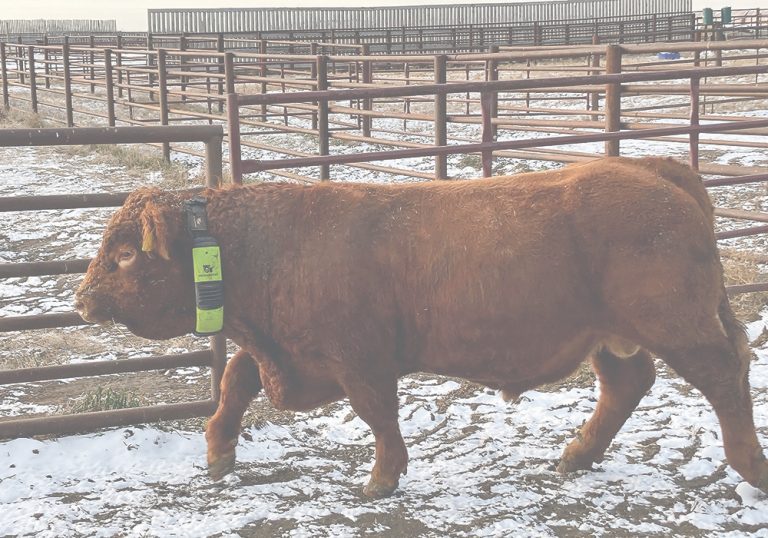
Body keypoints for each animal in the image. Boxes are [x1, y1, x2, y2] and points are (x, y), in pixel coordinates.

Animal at [75, 156, 768, 498]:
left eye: (126, 253)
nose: (81, 299)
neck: (269, 246)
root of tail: (653, 169)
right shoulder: (289, 357)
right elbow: (234, 384)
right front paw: (218, 455)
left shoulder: (358, 358)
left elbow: (378, 414)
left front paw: (381, 480)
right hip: (609, 335)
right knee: (628, 383)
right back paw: (575, 456)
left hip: (680, 325)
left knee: (726, 378)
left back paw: (751, 468)